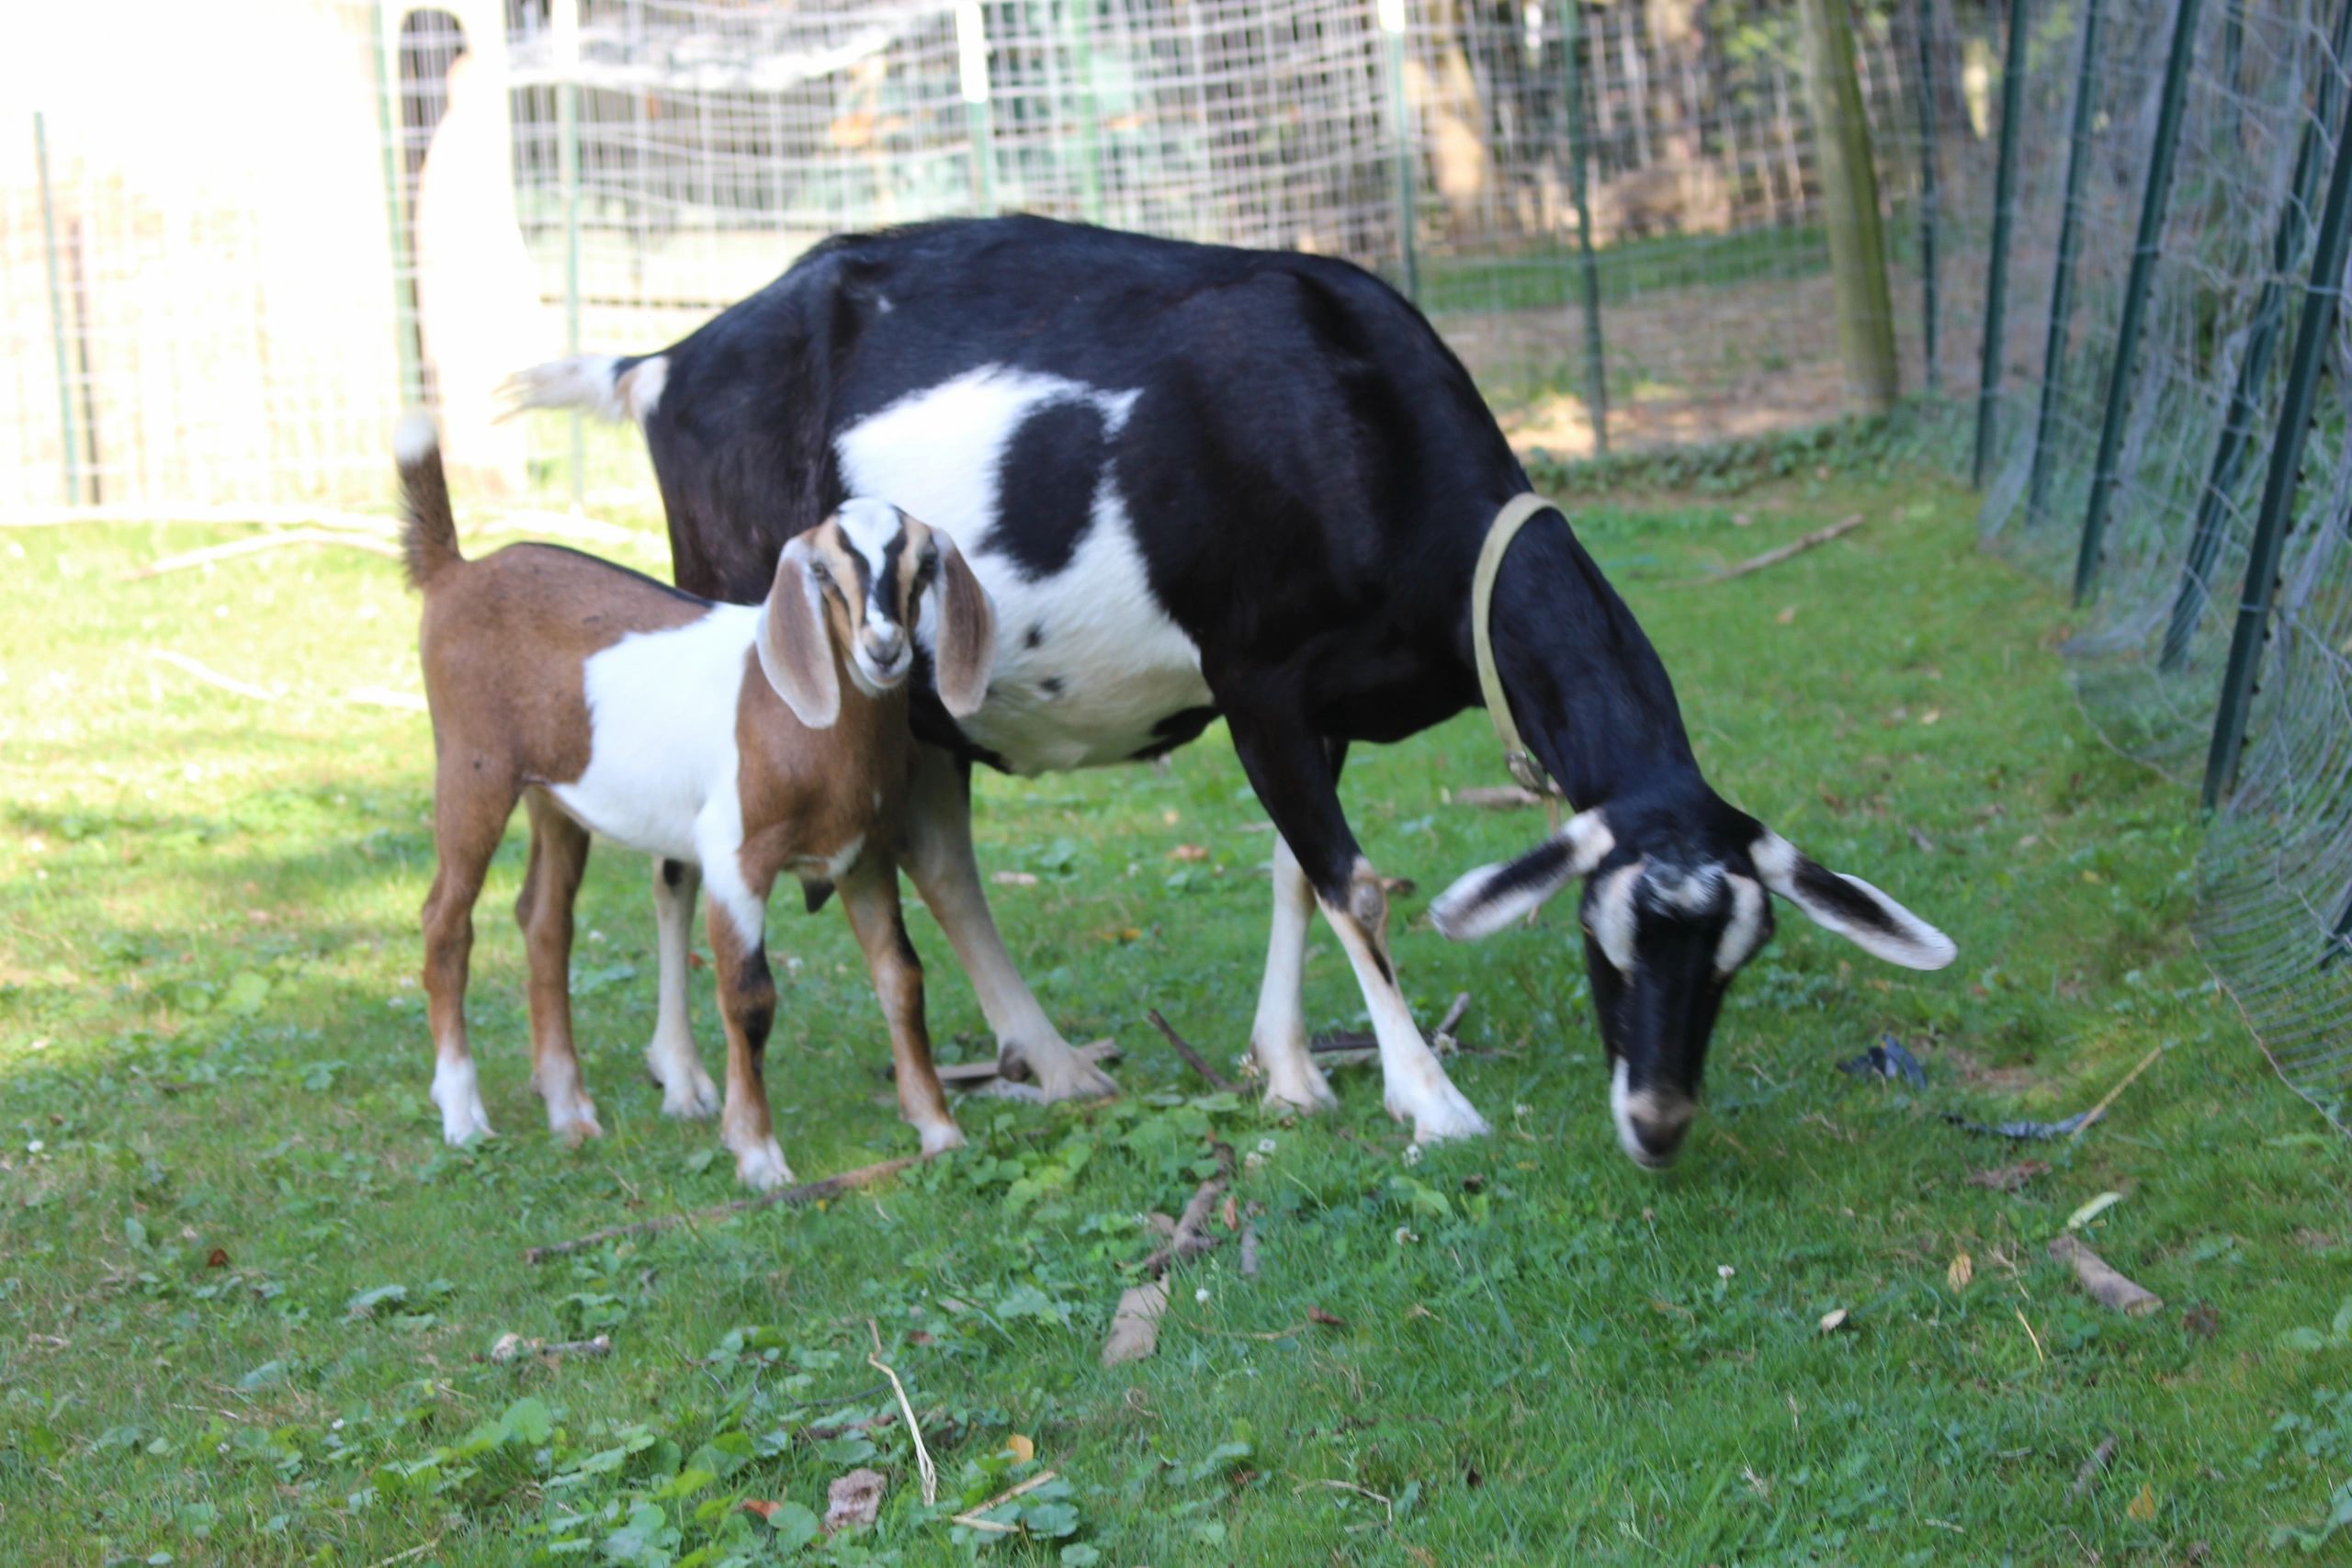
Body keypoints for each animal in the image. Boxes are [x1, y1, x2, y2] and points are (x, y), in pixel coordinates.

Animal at [393, 413, 994, 1187]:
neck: (800, 722)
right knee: (446, 921)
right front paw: (759, 1153)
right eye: (823, 573)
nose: (884, 648)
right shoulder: (736, 857)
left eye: (921, 567)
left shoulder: (863, 853)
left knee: (545, 920)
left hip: (555, 796)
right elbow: (750, 996)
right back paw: (464, 1113)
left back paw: (569, 1108)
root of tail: (455, 571)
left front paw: (938, 1128)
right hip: (473, 768)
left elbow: (901, 976)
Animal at [506, 214, 1955, 1168]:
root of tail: (670, 362)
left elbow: (1292, 872)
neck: (1355, 424)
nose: (1657, 1124)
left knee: (939, 851)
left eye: (1741, 954)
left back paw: (1056, 1062)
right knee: (686, 847)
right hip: (736, 625)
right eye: (1604, 940)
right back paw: (684, 1075)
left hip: (911, 702)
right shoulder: (1254, 674)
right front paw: (1429, 1101)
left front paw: (1291, 1068)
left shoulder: (1317, 707)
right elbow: (1351, 882)